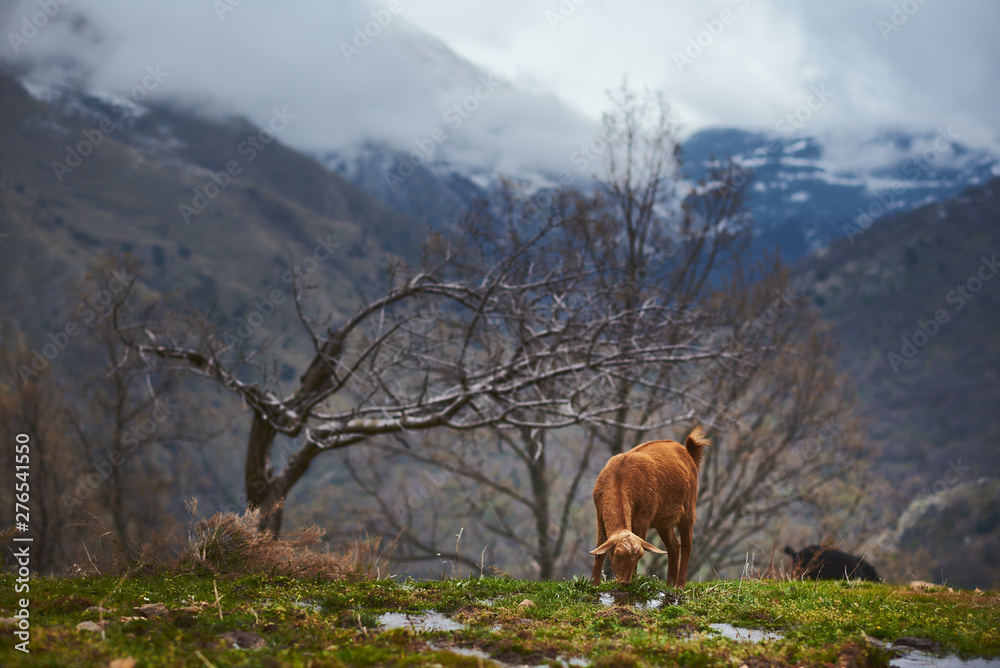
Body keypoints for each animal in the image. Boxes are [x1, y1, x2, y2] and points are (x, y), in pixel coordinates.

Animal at [590, 424, 710, 588]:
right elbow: (600, 550)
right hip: (664, 522)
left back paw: (680, 584)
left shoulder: (643, 516)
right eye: (617, 555)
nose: (624, 582)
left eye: (639, 557)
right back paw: (669, 583)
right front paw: (593, 583)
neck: (619, 478)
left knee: (687, 544)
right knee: (674, 546)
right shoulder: (599, 515)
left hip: (689, 507)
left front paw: (634, 578)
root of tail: (686, 451)